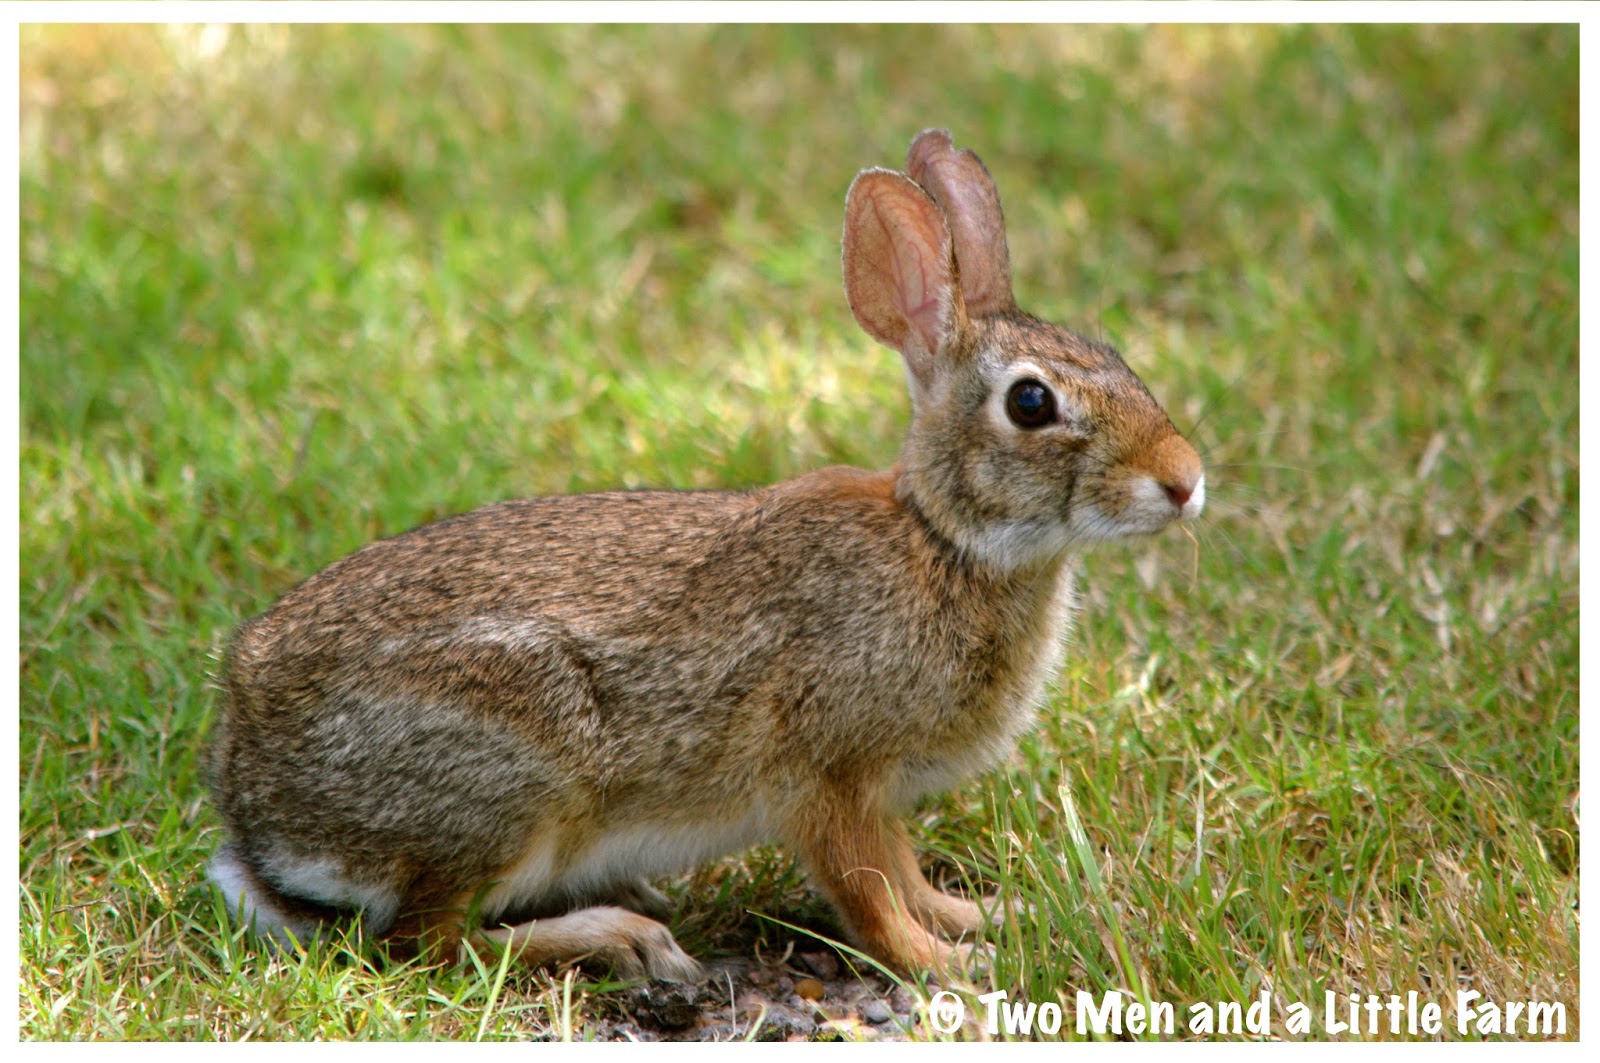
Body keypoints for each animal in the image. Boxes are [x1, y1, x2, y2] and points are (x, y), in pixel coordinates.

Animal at [207, 128, 1204, 984]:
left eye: (1115, 354)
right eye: (1031, 404)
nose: (1186, 480)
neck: (944, 540)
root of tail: (255, 796)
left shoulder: (877, 794)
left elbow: (903, 871)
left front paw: (976, 917)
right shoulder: (827, 772)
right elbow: (866, 891)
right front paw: (948, 963)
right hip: (513, 776)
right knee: (429, 943)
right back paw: (623, 937)